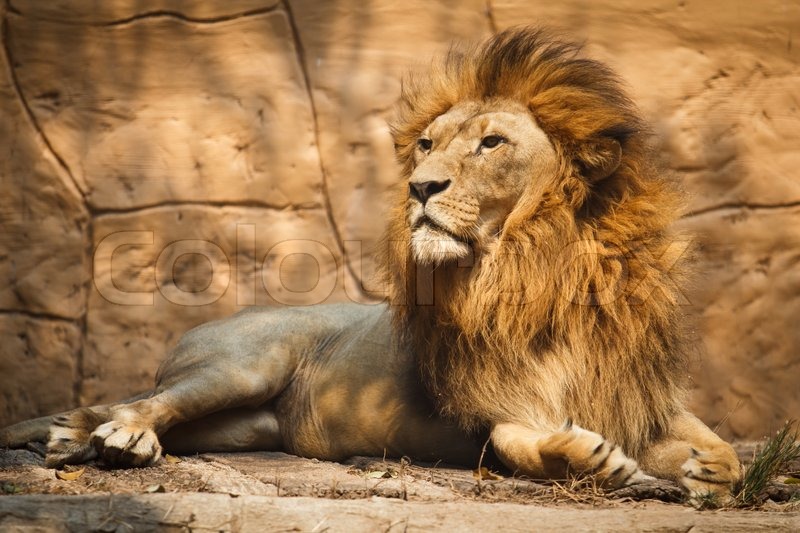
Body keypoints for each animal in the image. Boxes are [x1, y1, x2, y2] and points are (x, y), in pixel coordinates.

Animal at [0, 28, 740, 502]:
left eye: (491, 143)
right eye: (427, 145)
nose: (420, 187)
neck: (536, 267)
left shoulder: (638, 391)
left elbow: (722, 454)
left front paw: (703, 468)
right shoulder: (497, 403)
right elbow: (520, 442)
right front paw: (595, 457)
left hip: (246, 424)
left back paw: (78, 440)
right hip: (240, 365)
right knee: (139, 401)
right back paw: (116, 439)